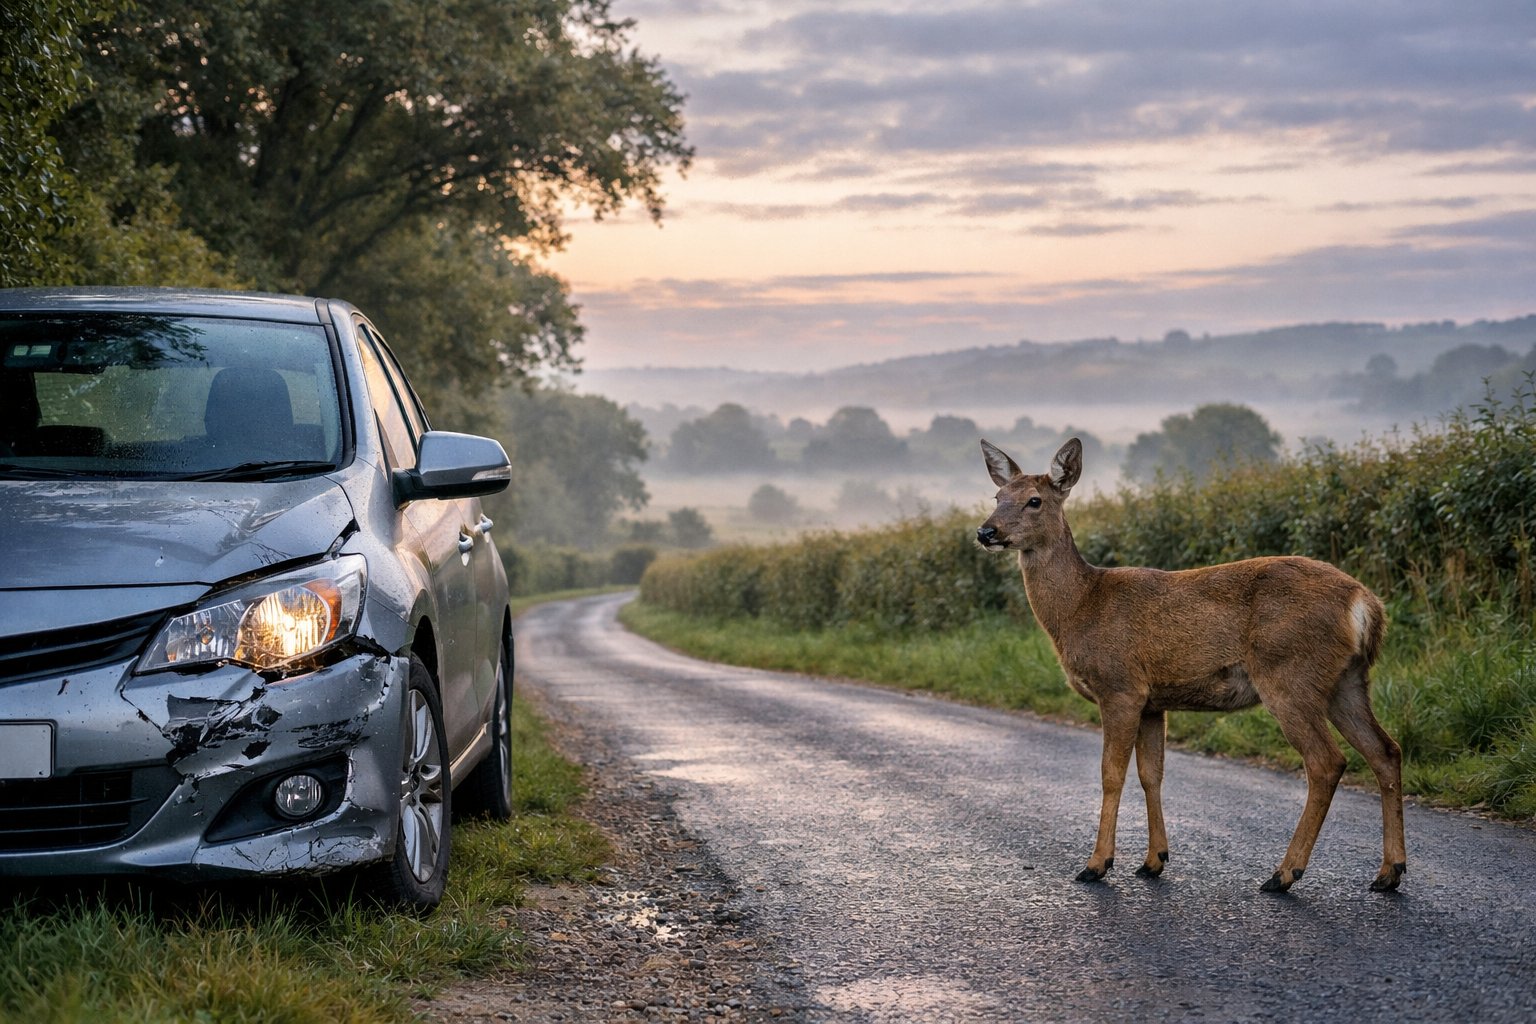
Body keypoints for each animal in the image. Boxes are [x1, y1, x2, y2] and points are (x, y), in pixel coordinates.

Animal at [976, 437, 1406, 893]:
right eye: (998, 497)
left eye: (1034, 500)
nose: (986, 532)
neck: (1080, 607)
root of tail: (1364, 603)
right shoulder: (1153, 701)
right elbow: (1152, 774)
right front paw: (1154, 860)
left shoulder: (1120, 686)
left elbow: (1112, 773)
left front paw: (1097, 864)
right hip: (1348, 680)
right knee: (1386, 751)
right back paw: (1389, 872)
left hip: (1290, 672)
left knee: (1327, 762)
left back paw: (1284, 873)